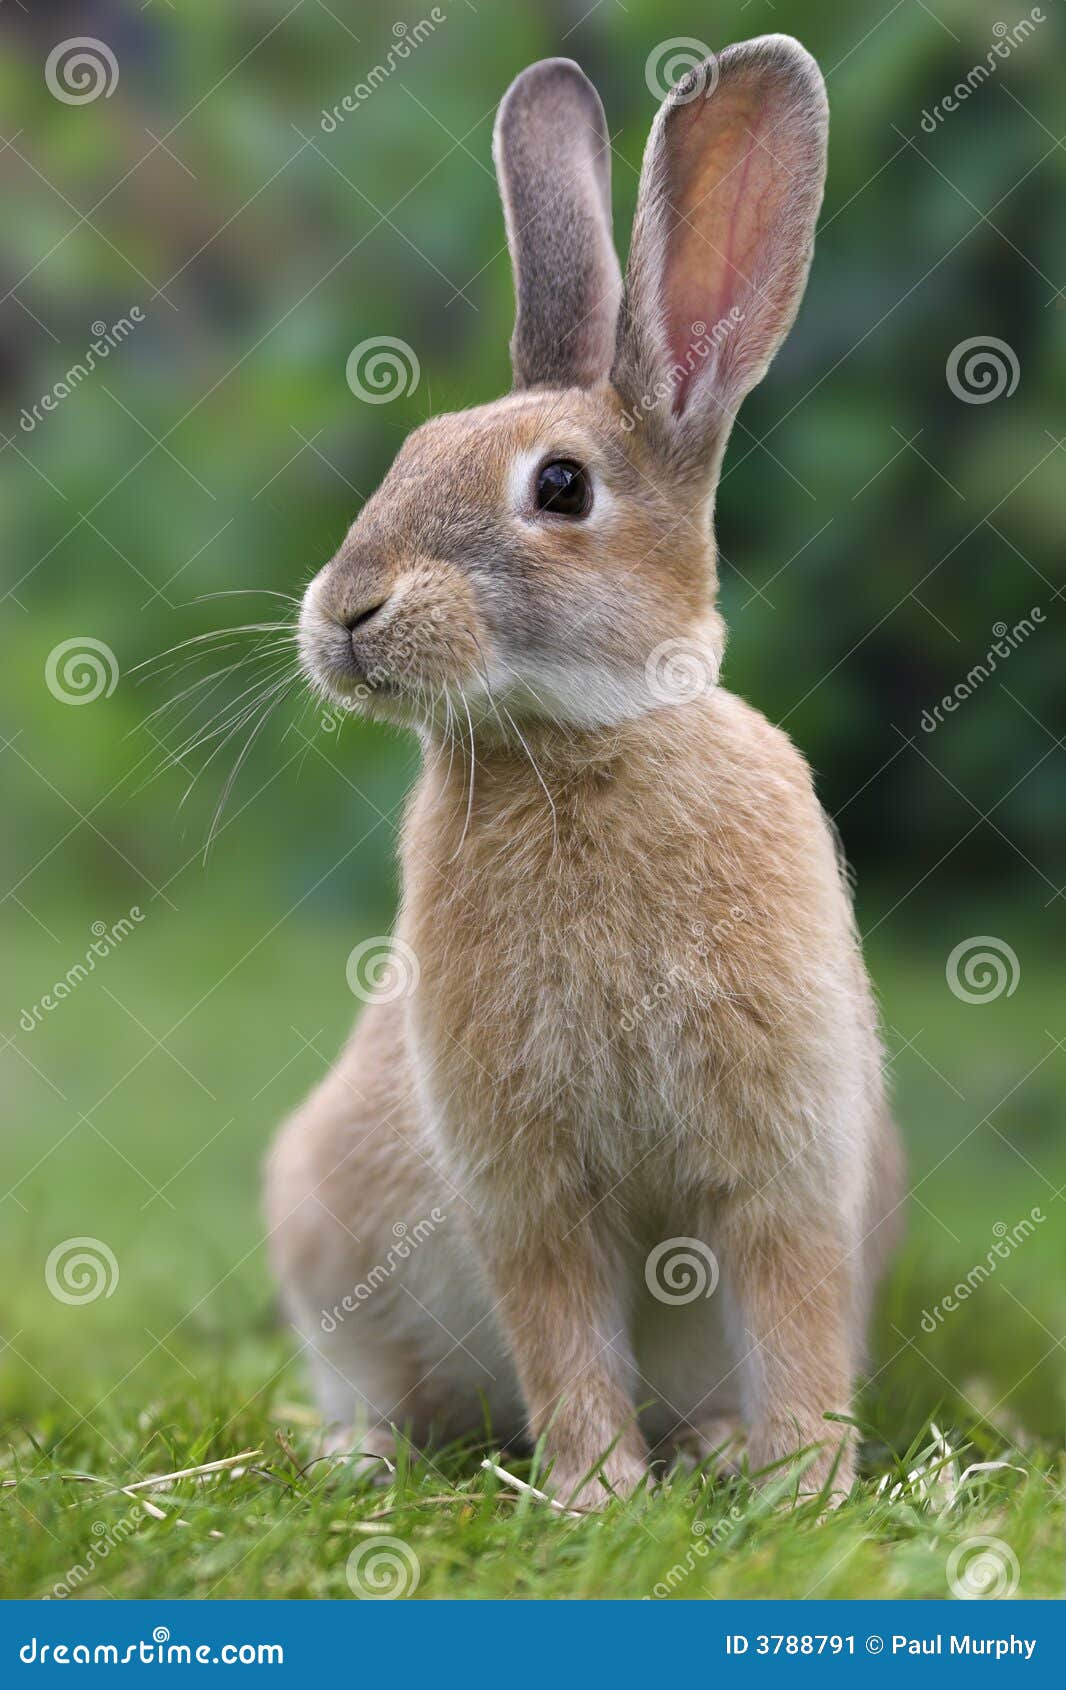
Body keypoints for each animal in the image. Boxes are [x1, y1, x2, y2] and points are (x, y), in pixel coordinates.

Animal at [265, 34, 905, 1510]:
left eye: (559, 488)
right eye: (407, 452)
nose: (345, 612)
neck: (579, 743)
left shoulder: (783, 1161)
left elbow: (791, 1314)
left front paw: (801, 1483)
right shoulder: (526, 1182)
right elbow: (560, 1328)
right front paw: (596, 1493)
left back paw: (719, 1447)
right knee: (375, 1381)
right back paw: (359, 1454)